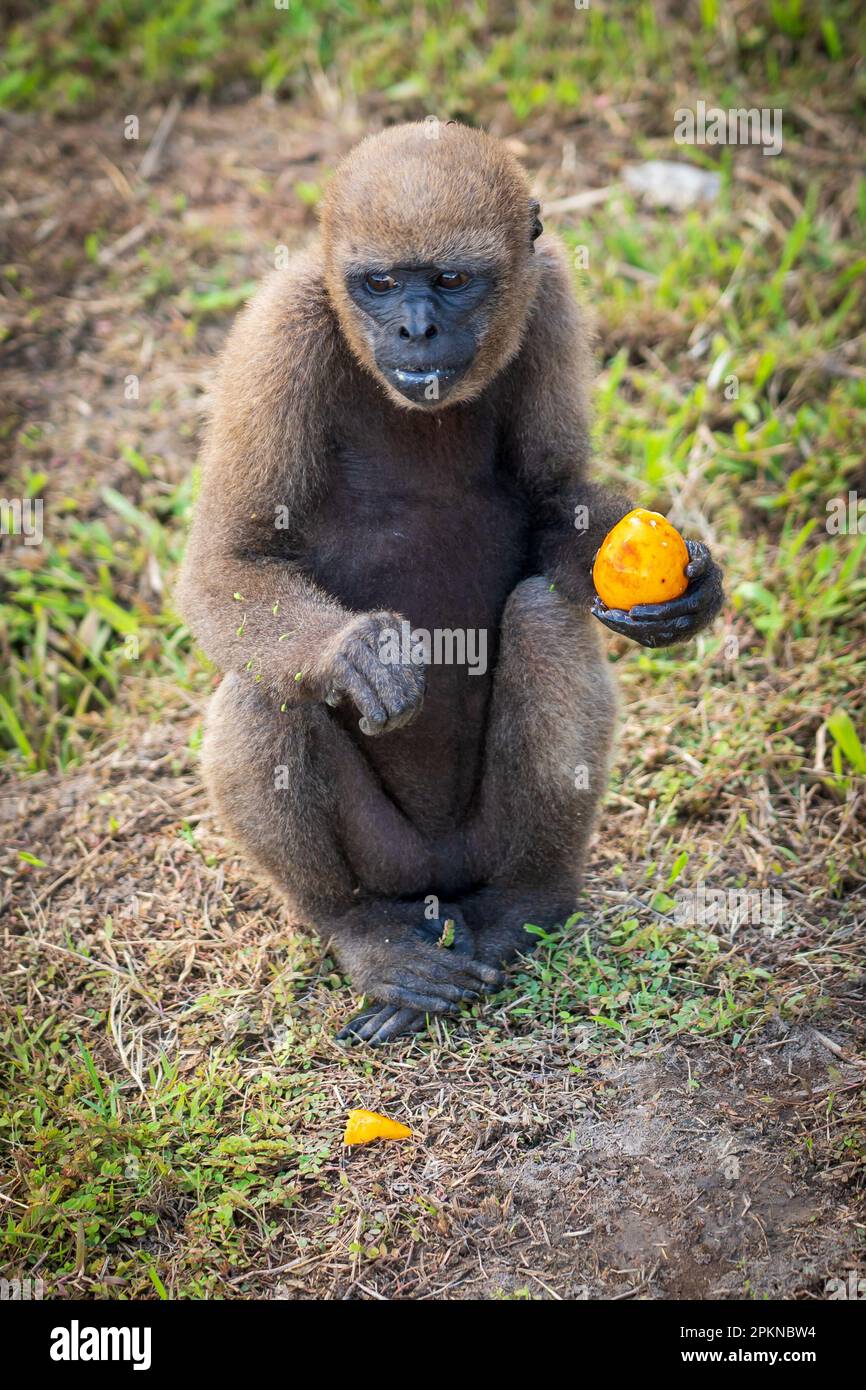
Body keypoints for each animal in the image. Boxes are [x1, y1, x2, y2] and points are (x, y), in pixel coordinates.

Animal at [177, 122, 723, 1045]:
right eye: (380, 283)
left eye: (453, 281)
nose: (416, 328)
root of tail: (439, 878)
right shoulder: (279, 328)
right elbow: (230, 559)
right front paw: (355, 656)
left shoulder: (550, 294)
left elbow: (555, 504)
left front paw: (694, 590)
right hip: (391, 858)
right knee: (268, 687)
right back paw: (362, 931)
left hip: (480, 845)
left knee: (544, 616)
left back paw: (524, 907)